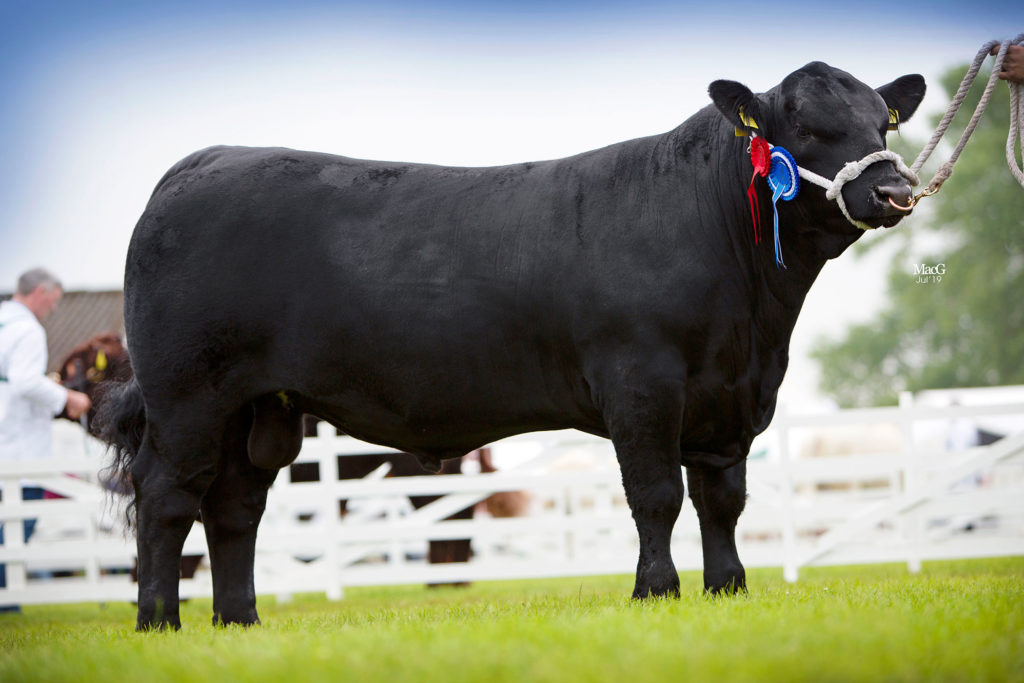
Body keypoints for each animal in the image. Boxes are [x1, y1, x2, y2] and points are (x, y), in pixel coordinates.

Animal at [99, 61, 925, 630]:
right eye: (807, 128)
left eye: (882, 125)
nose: (894, 189)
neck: (754, 313)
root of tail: (201, 163)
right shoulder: (642, 381)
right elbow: (657, 493)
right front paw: (656, 590)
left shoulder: (731, 395)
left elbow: (723, 499)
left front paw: (727, 587)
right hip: (188, 394)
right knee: (167, 495)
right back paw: (159, 620)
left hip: (260, 406)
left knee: (234, 505)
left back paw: (239, 619)